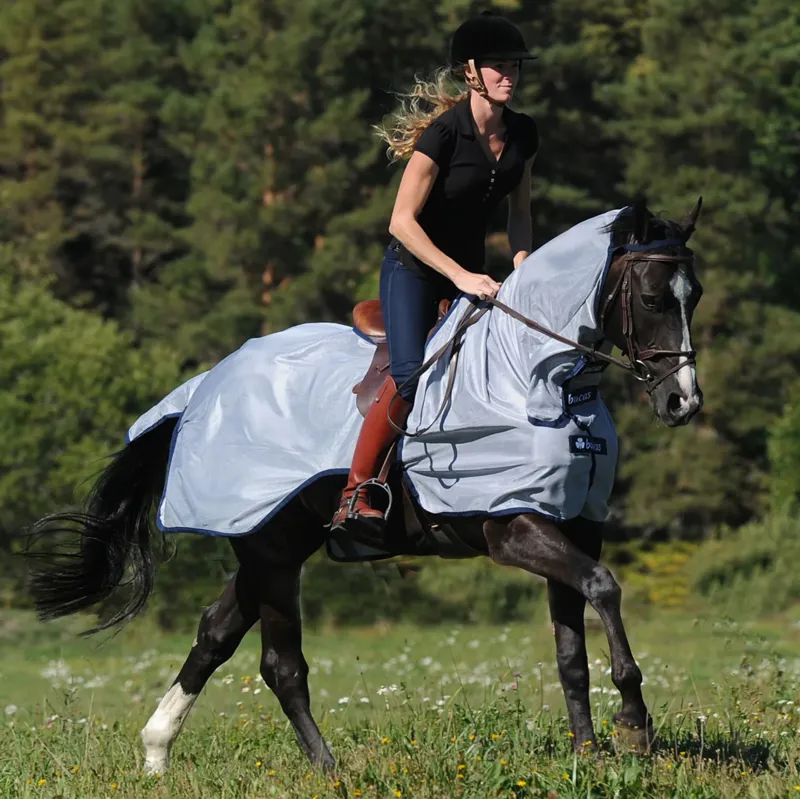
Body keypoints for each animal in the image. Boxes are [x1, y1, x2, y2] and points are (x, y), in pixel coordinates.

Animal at [26, 198, 704, 774]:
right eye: (650, 298)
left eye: (692, 296)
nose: (683, 402)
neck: (536, 379)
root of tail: (204, 387)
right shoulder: (511, 528)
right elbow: (605, 587)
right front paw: (635, 724)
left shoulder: (573, 525)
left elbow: (572, 649)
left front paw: (590, 752)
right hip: (272, 553)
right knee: (281, 666)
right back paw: (328, 770)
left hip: (271, 544)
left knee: (215, 632)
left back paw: (156, 751)